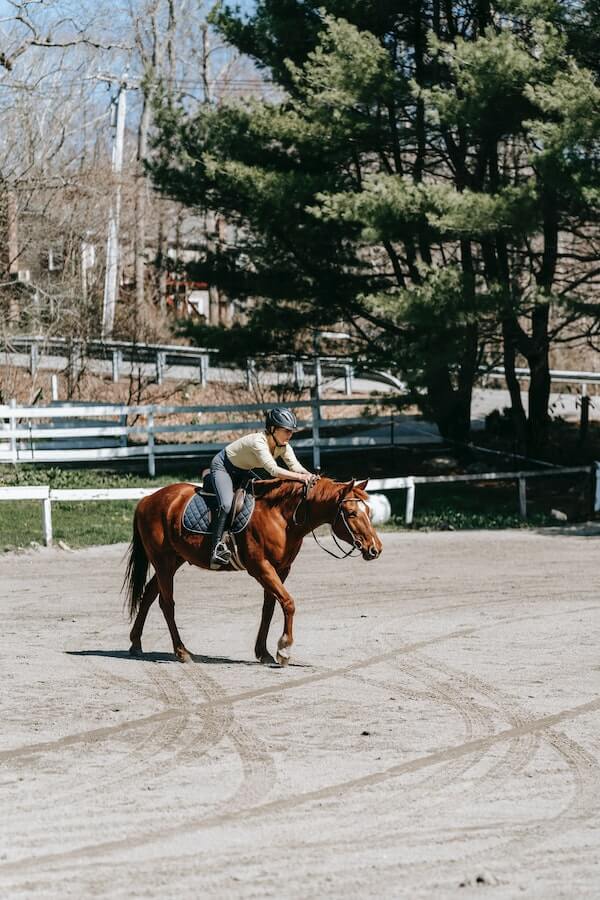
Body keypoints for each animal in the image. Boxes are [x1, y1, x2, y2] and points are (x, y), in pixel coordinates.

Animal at [123, 476, 383, 666]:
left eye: (369, 513)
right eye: (351, 513)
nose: (375, 548)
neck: (282, 517)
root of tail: (148, 499)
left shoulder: (281, 569)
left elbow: (270, 607)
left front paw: (264, 652)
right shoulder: (260, 567)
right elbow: (288, 603)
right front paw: (284, 649)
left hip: (173, 561)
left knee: (149, 594)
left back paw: (136, 643)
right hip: (164, 562)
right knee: (166, 604)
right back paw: (181, 651)